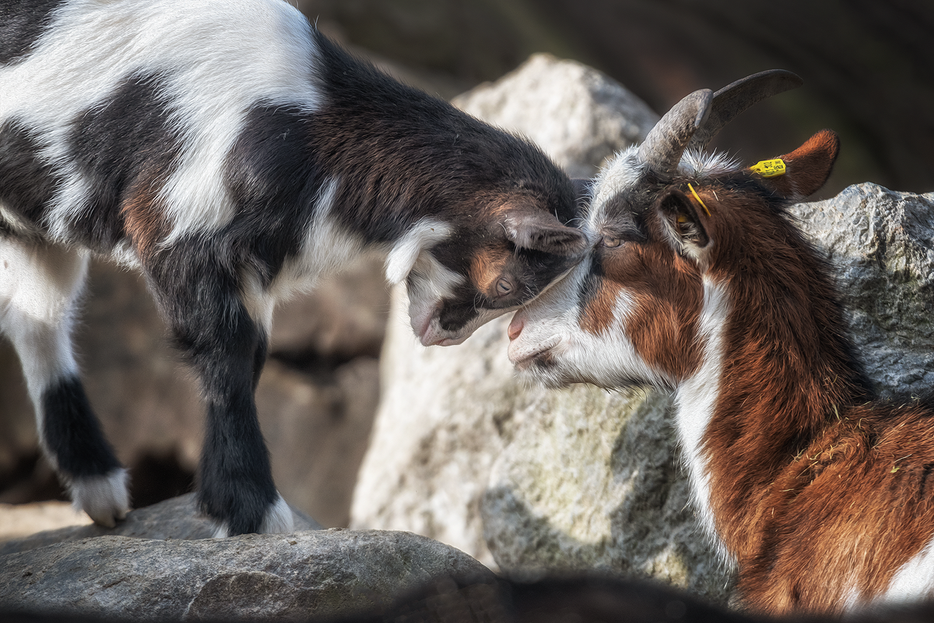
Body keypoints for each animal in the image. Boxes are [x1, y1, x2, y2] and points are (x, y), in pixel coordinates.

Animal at [0, 0, 586, 536]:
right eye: (507, 284)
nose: (439, 337)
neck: (316, 122)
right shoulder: (177, 224)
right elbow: (228, 354)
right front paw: (254, 513)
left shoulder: (252, 265)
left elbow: (254, 355)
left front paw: (227, 504)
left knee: (39, 319)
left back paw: (100, 491)